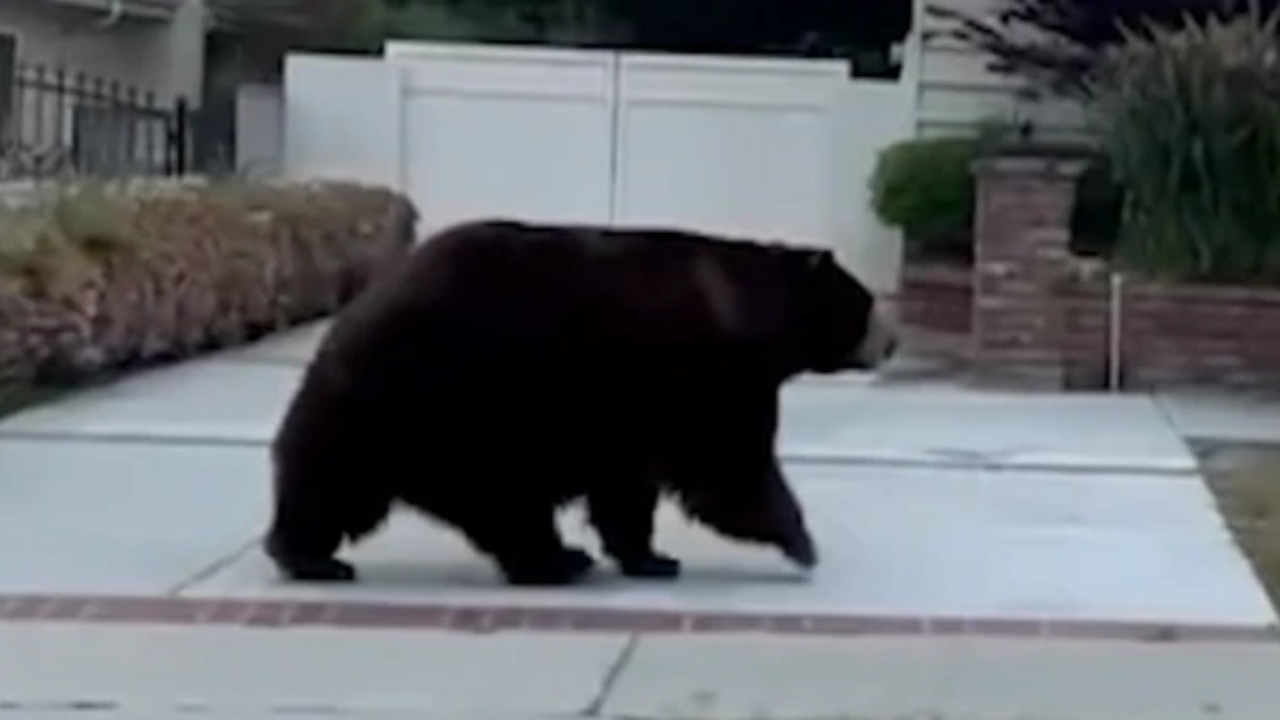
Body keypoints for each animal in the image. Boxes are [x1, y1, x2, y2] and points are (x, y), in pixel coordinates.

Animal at [263, 218, 898, 586]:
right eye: (865, 303)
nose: (892, 340)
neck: (753, 320)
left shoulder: (635, 412)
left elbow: (630, 487)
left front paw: (650, 556)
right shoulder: (706, 377)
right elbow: (728, 469)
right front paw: (801, 541)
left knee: (339, 481)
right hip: (451, 399)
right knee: (489, 494)